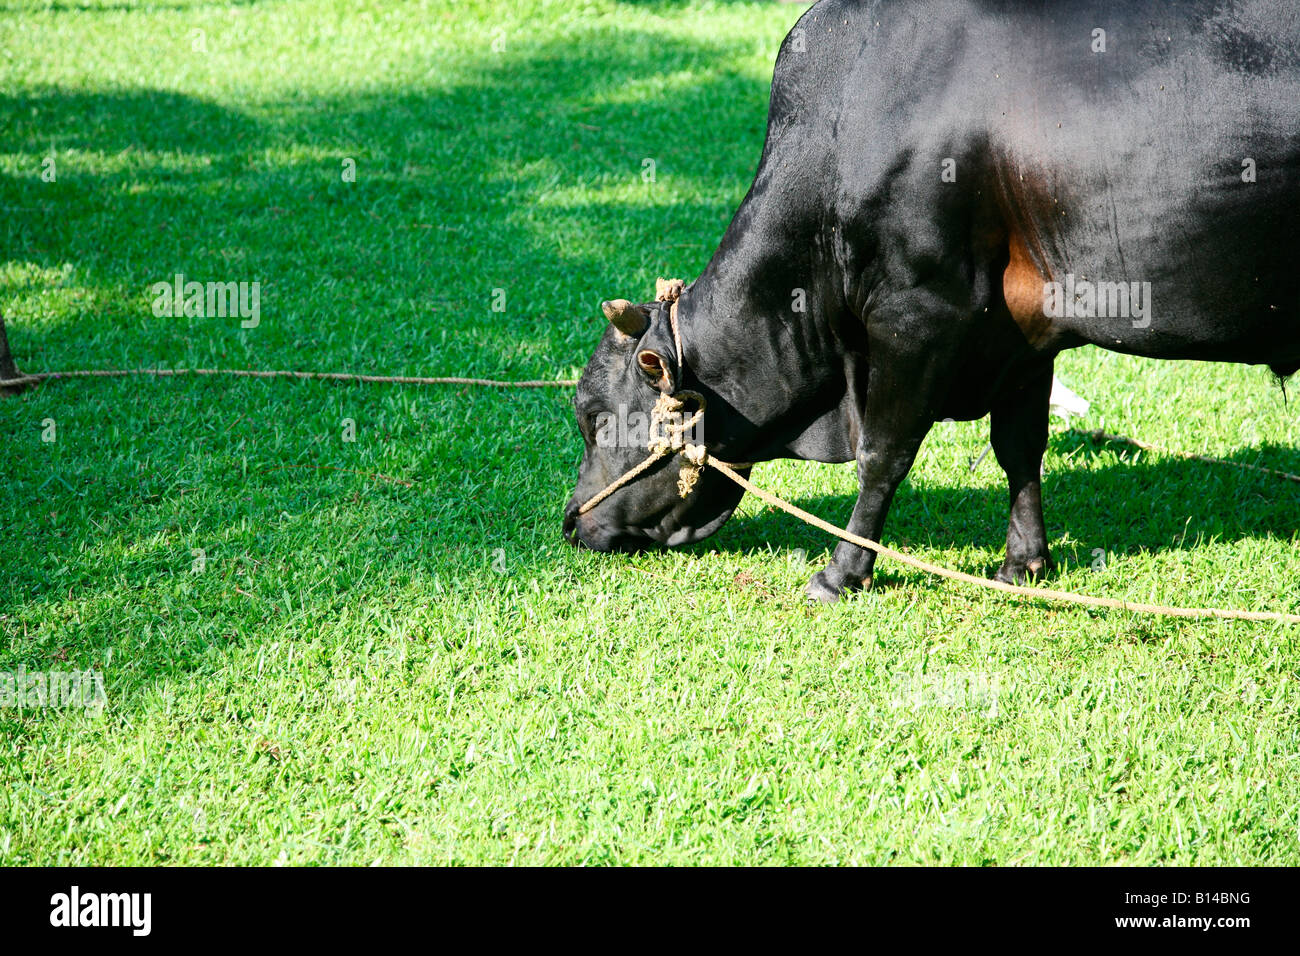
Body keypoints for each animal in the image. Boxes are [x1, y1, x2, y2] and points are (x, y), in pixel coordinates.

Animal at [563, 0, 1300, 602]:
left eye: (595, 416)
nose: (571, 522)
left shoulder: (916, 317)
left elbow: (883, 453)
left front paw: (843, 572)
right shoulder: (1021, 336)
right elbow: (1019, 447)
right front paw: (1023, 564)